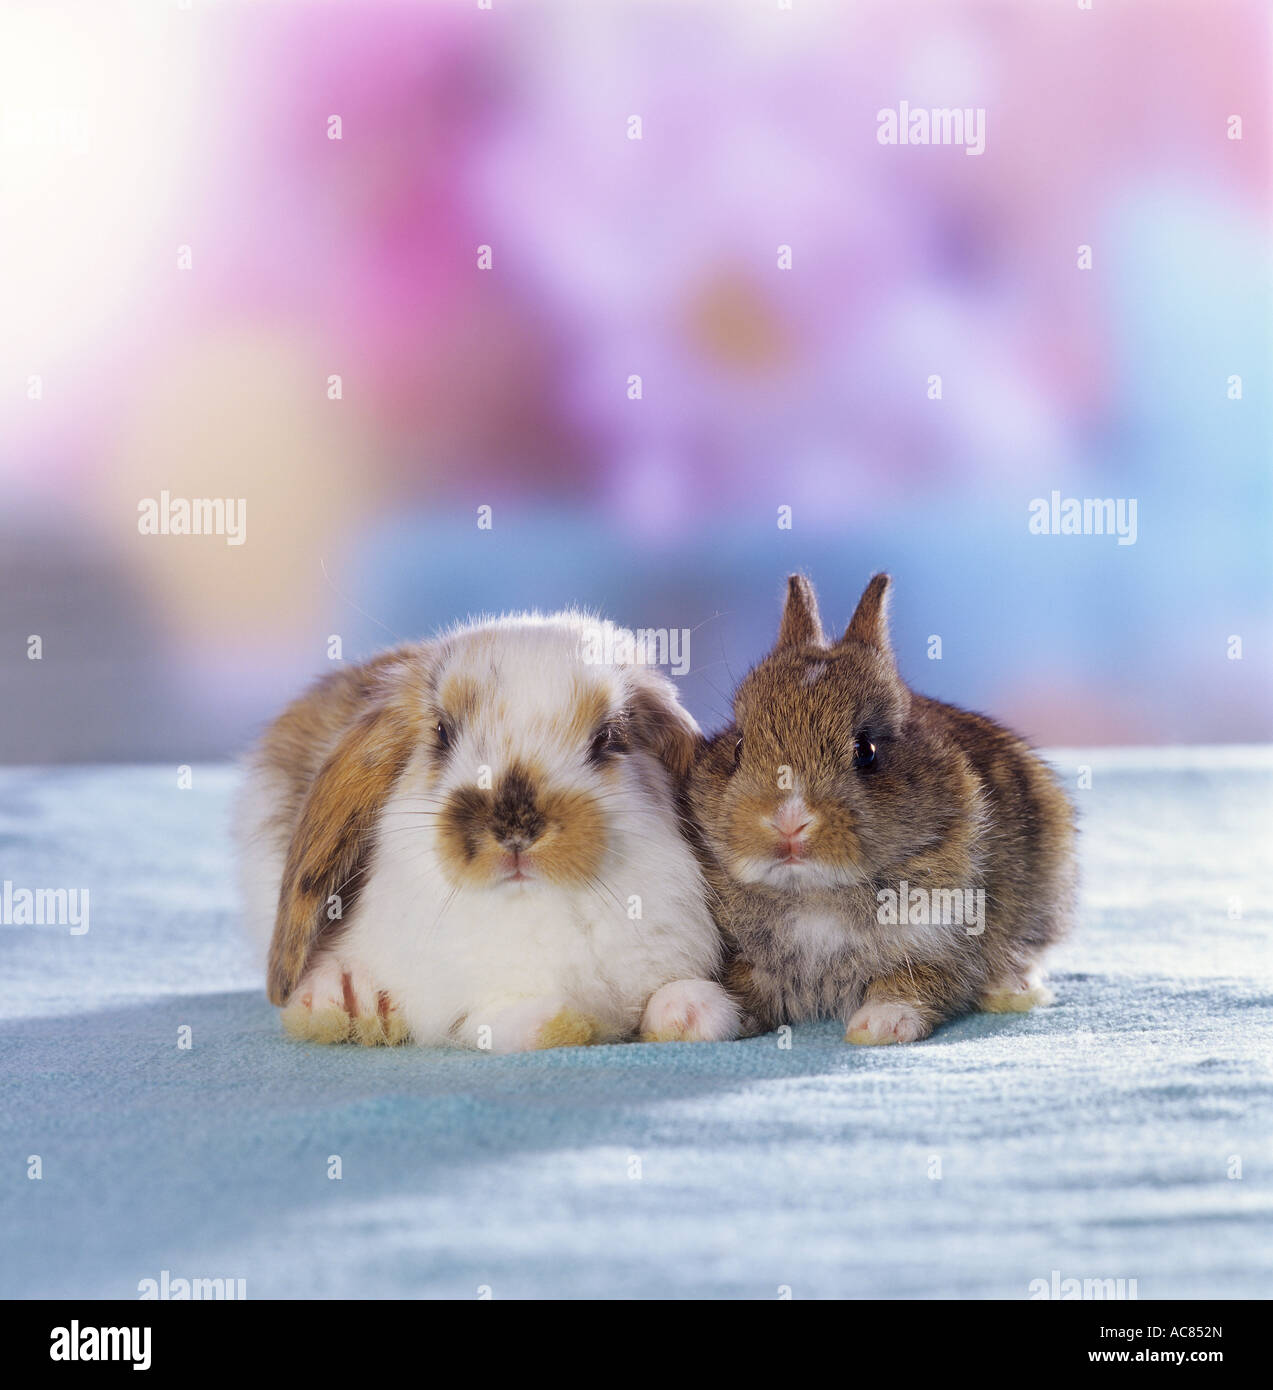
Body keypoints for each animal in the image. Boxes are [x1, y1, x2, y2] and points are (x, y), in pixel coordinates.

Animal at [236, 612, 741, 1051]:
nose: (514, 827)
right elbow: (501, 1021)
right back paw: (343, 999)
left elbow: (676, 997)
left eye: (609, 737)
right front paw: (561, 1021)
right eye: (442, 732)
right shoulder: (461, 1005)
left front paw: (692, 1010)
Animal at [686, 572, 1077, 1045]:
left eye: (866, 751)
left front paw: (878, 1025)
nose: (789, 822)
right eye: (739, 747)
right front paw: (691, 1016)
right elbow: (742, 988)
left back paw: (1013, 988)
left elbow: (915, 983)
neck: (814, 895)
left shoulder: (943, 941)